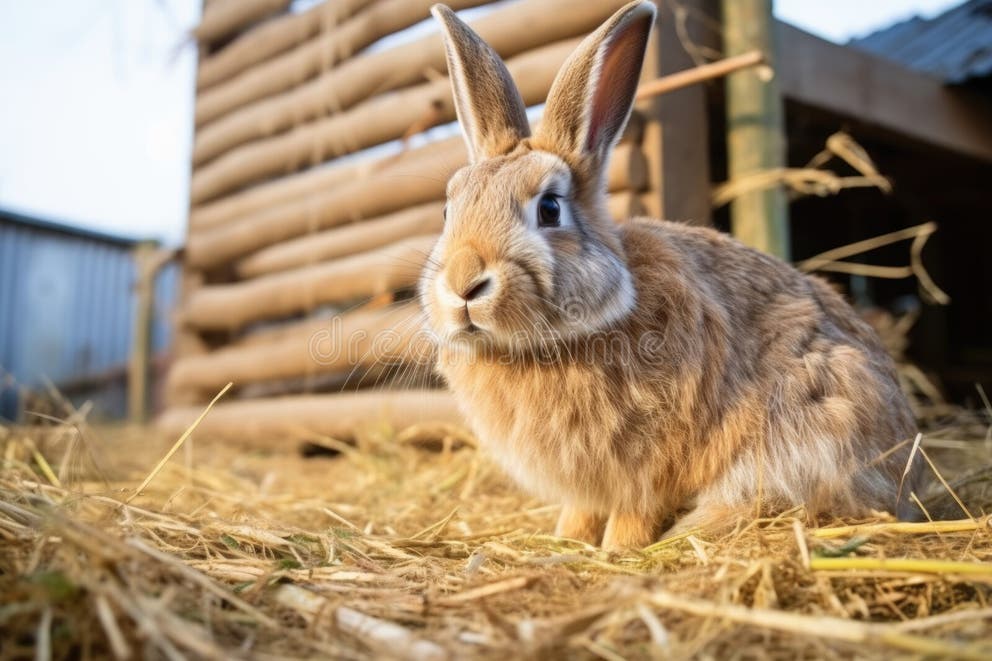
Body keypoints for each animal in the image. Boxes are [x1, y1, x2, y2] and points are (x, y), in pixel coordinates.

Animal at [419, 0, 925, 550]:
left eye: (549, 209)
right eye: (447, 211)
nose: (463, 285)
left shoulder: (651, 468)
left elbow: (636, 511)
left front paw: (617, 549)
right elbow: (580, 511)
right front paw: (567, 540)